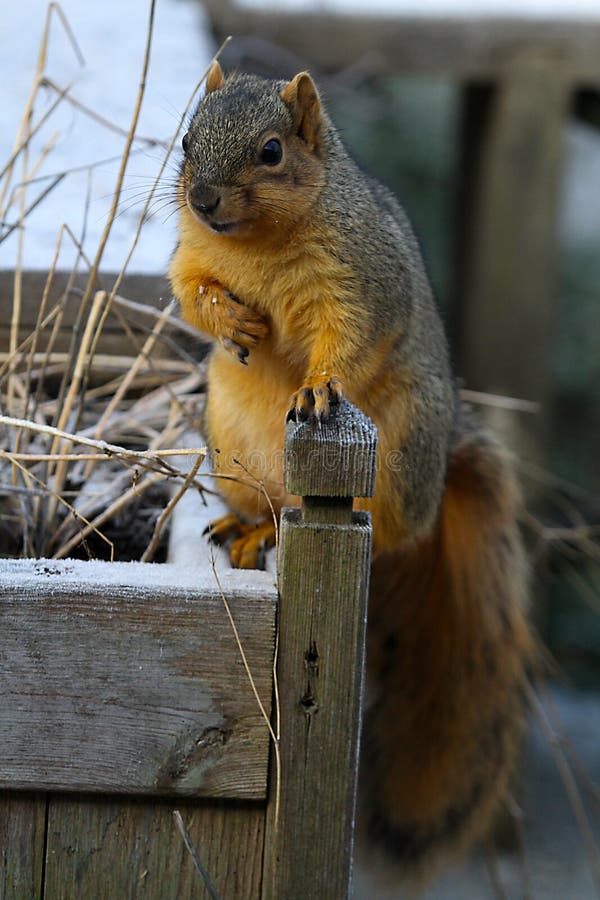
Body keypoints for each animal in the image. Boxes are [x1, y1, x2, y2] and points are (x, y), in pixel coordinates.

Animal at [169, 61, 534, 877]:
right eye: (186, 139)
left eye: (272, 151)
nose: (202, 199)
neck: (258, 243)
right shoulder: (191, 252)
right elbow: (189, 293)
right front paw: (230, 318)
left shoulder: (357, 277)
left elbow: (347, 337)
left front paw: (315, 386)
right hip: (232, 447)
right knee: (266, 506)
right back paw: (249, 529)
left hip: (399, 457)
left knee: (393, 534)